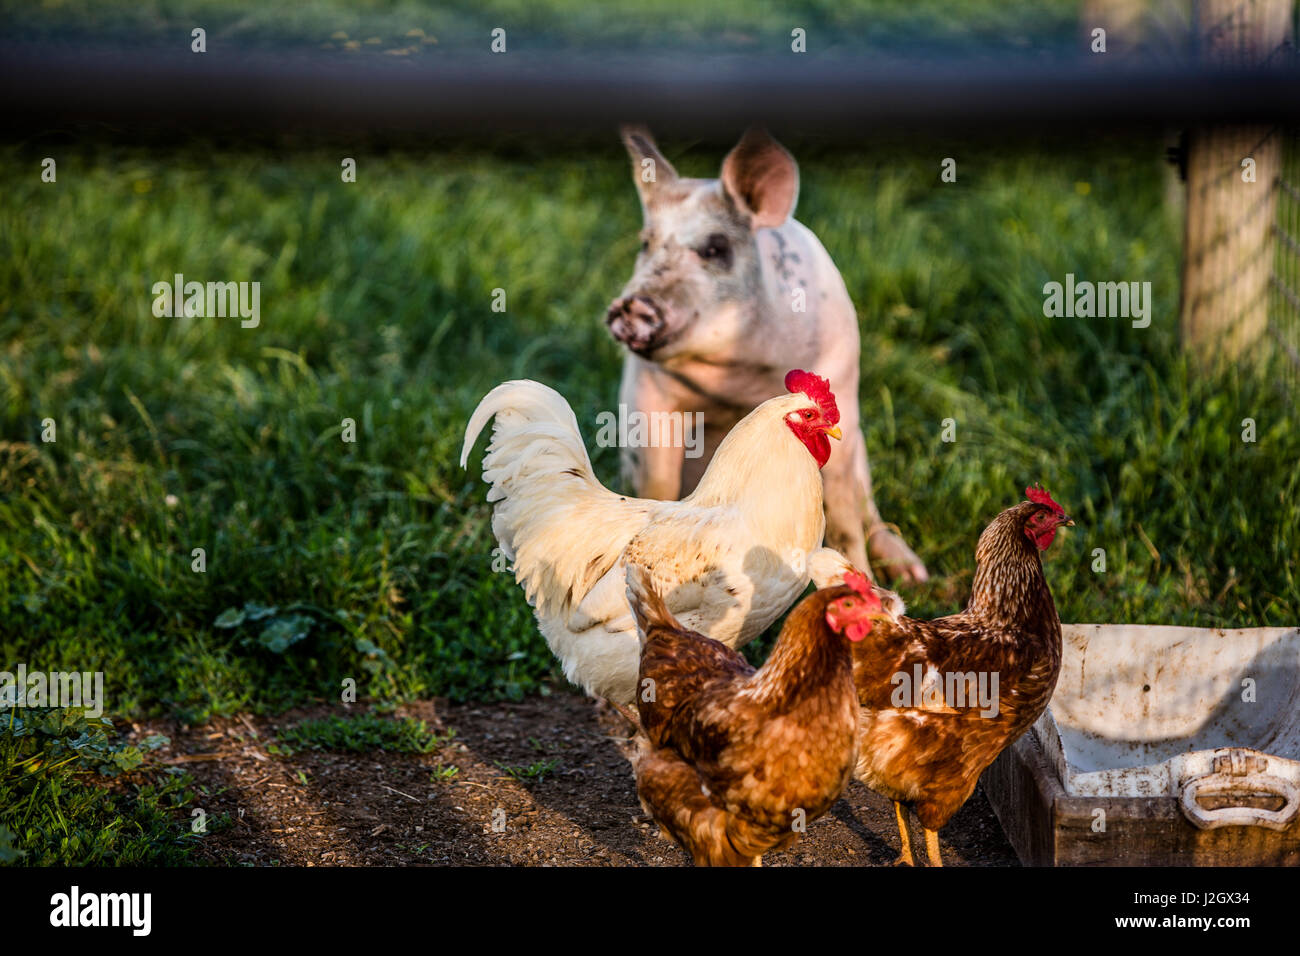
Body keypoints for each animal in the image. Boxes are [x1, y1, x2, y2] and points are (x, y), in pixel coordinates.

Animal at [604, 126, 927, 583]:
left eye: (715, 248)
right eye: (646, 244)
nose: (631, 306)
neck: (731, 374)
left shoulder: (840, 386)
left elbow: (844, 512)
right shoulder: (648, 397)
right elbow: (657, 486)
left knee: (868, 509)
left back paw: (916, 574)